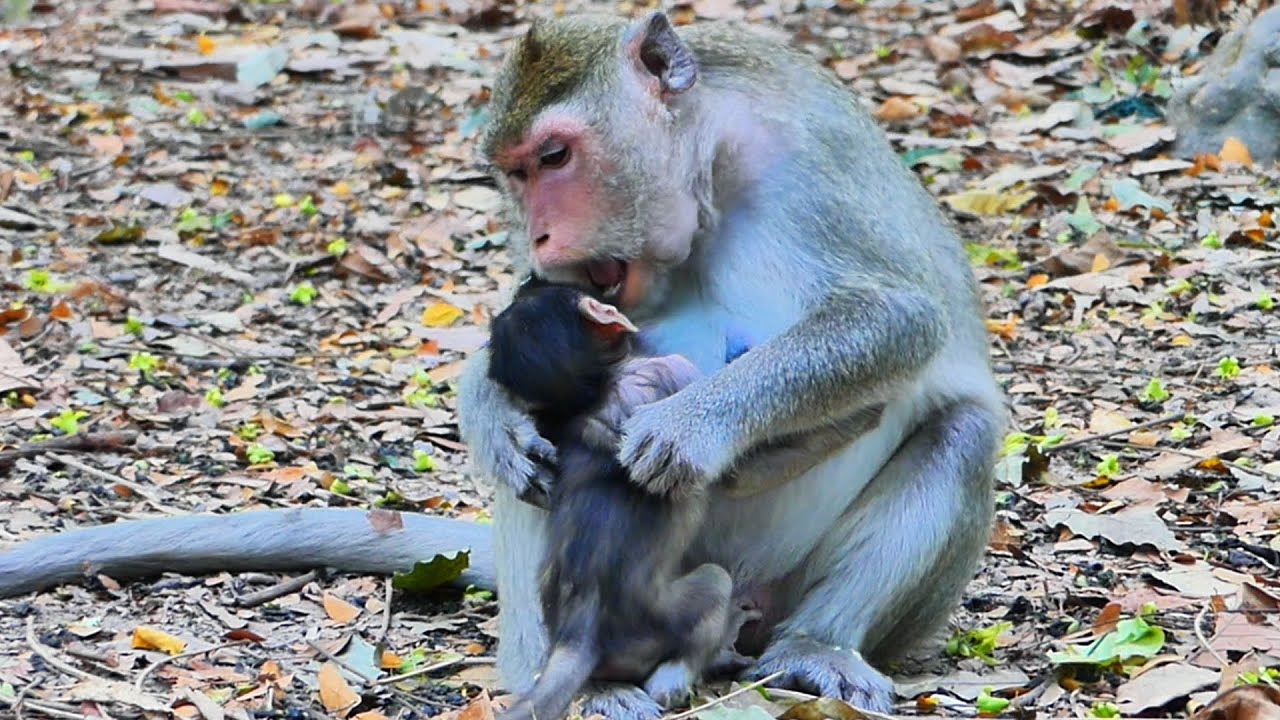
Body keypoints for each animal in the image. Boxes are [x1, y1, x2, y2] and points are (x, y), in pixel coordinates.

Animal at [485, 278, 753, 720]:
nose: (529, 279)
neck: (597, 391)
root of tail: (580, 634)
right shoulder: (674, 370)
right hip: (670, 615)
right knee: (714, 585)